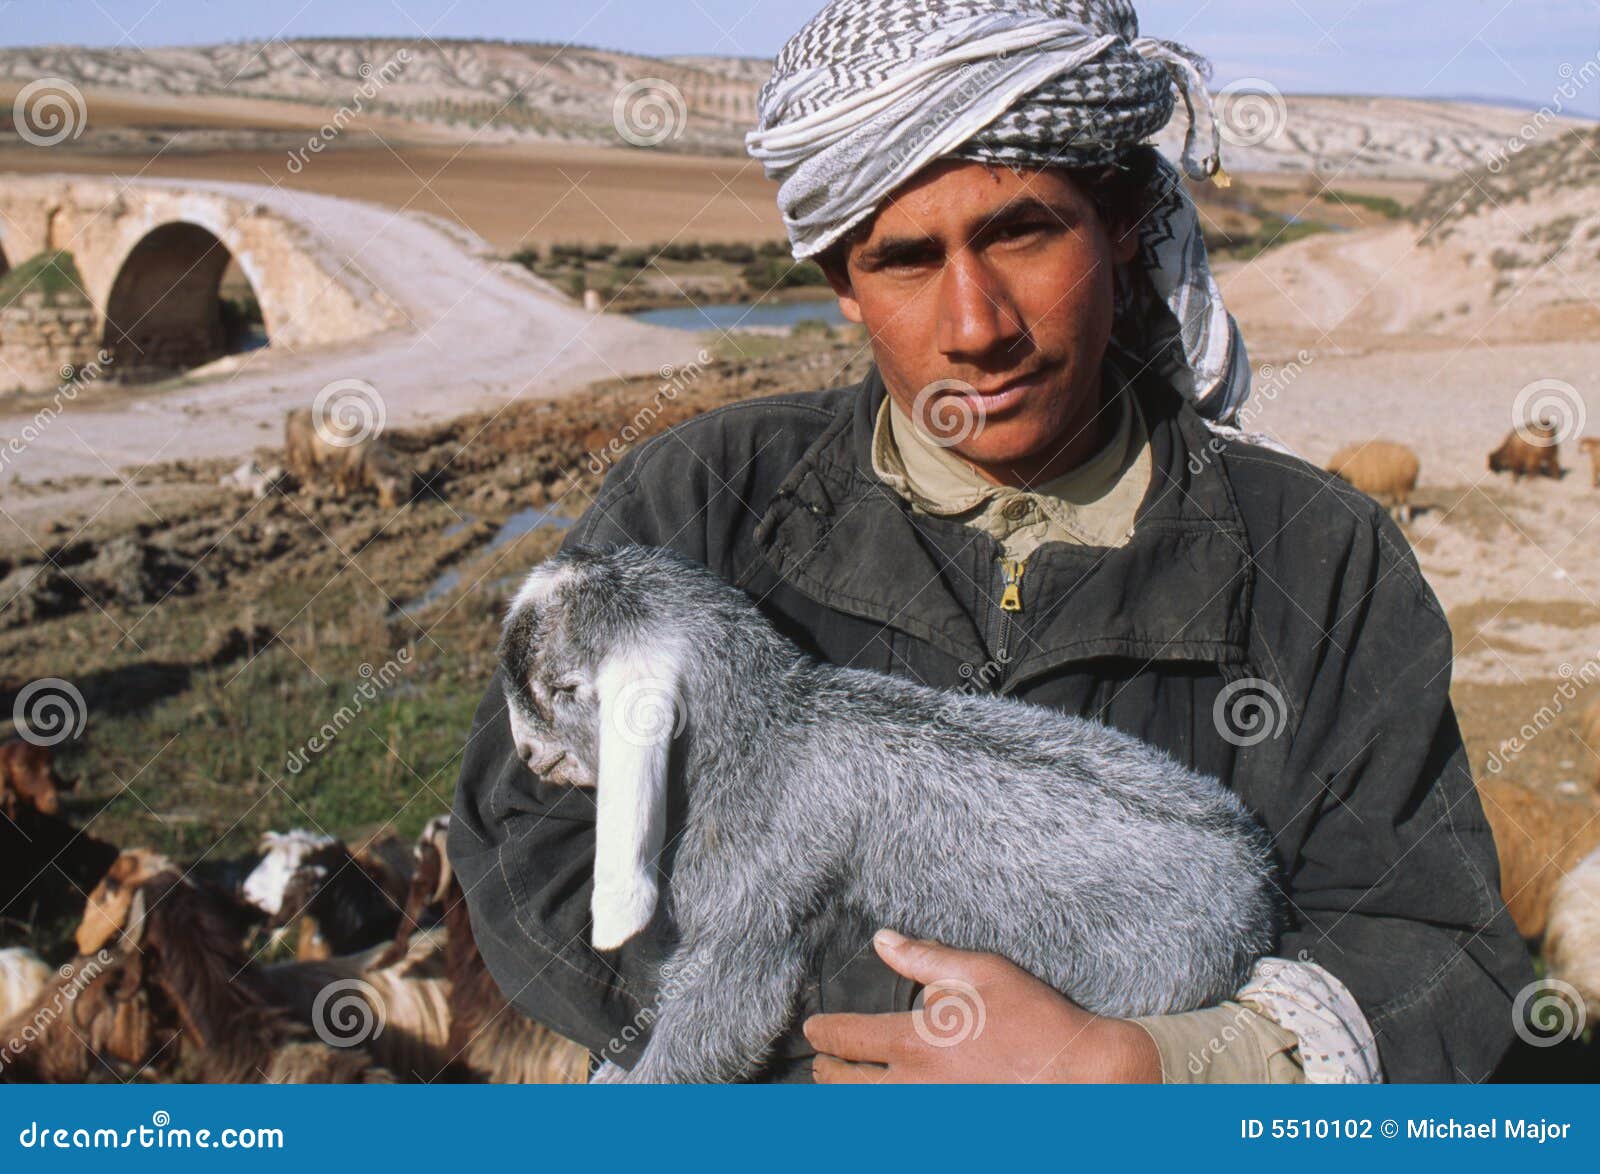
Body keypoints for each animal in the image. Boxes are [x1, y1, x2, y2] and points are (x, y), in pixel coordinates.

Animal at [498, 545, 1281, 1083]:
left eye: (562, 687)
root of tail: (1257, 886)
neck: (768, 728)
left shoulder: (753, 905)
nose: (528, 755)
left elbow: (721, 1022)